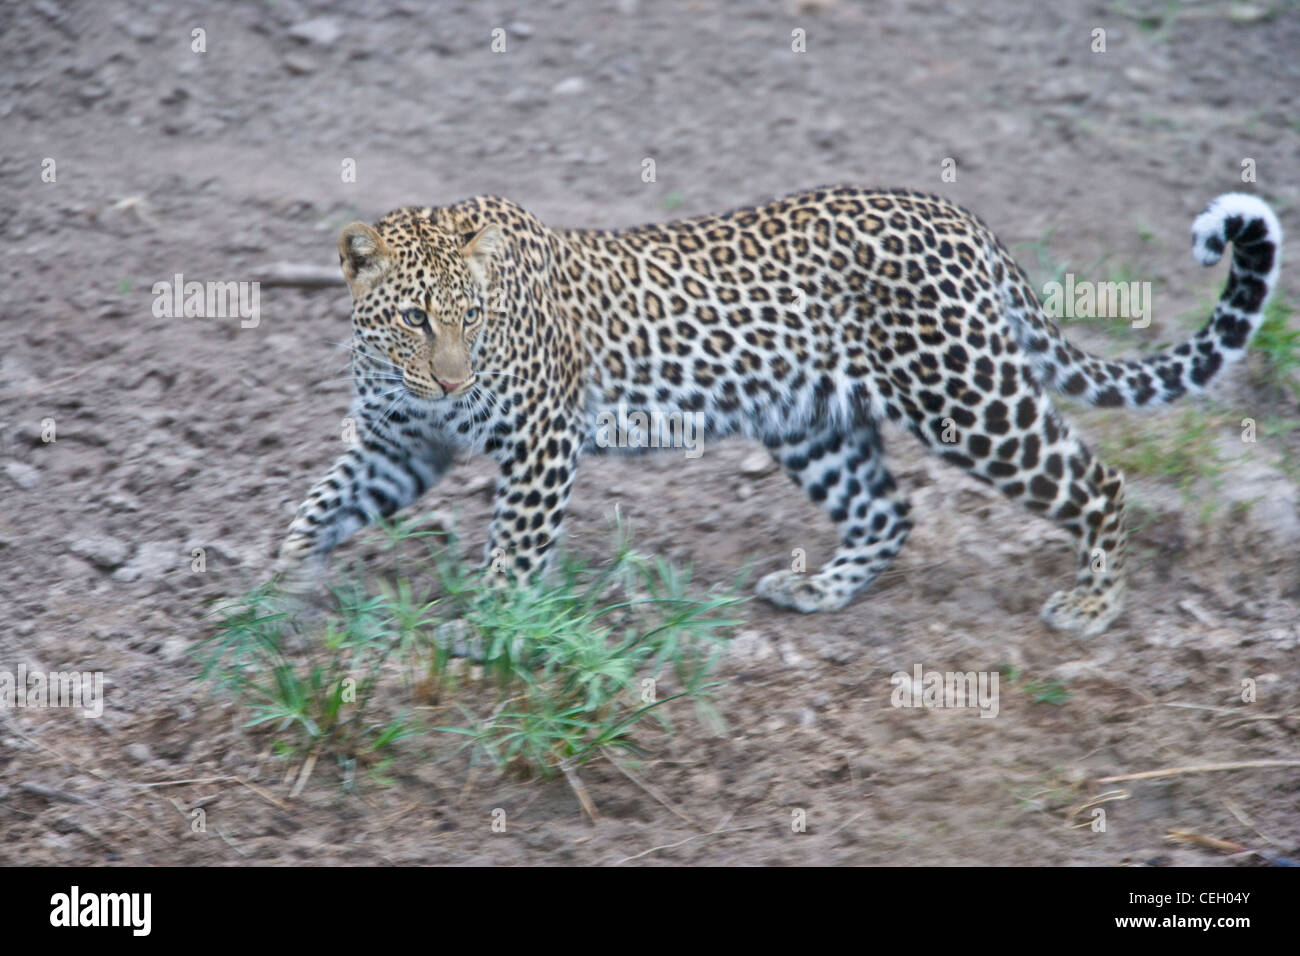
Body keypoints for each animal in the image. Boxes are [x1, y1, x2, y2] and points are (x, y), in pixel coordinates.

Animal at [275, 186, 1282, 638]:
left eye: (473, 318)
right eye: (416, 319)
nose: (449, 383)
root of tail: (963, 220)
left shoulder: (540, 439)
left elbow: (516, 549)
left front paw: (489, 625)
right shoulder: (399, 448)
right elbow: (317, 508)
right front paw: (271, 590)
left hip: (968, 398)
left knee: (1099, 480)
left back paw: (1094, 602)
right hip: (810, 421)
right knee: (888, 510)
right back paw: (819, 590)